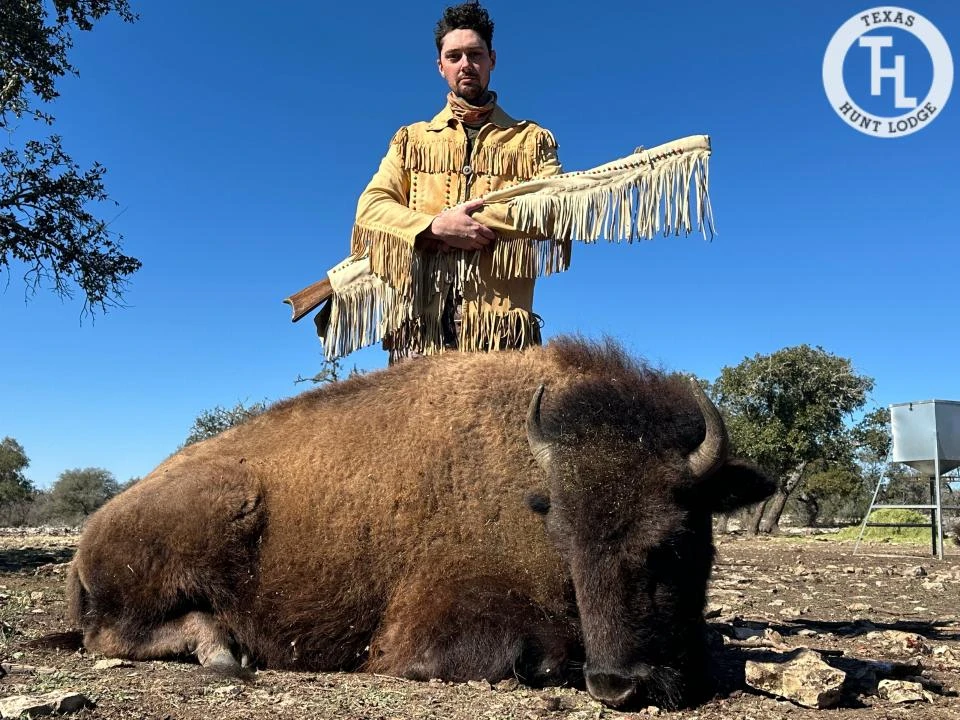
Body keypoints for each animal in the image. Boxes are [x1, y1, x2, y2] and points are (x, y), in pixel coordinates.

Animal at [69, 337, 773, 709]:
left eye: (678, 538)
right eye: (564, 545)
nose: (618, 686)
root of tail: (87, 540)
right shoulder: (434, 630)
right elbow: (534, 655)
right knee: (112, 636)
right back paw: (222, 649)